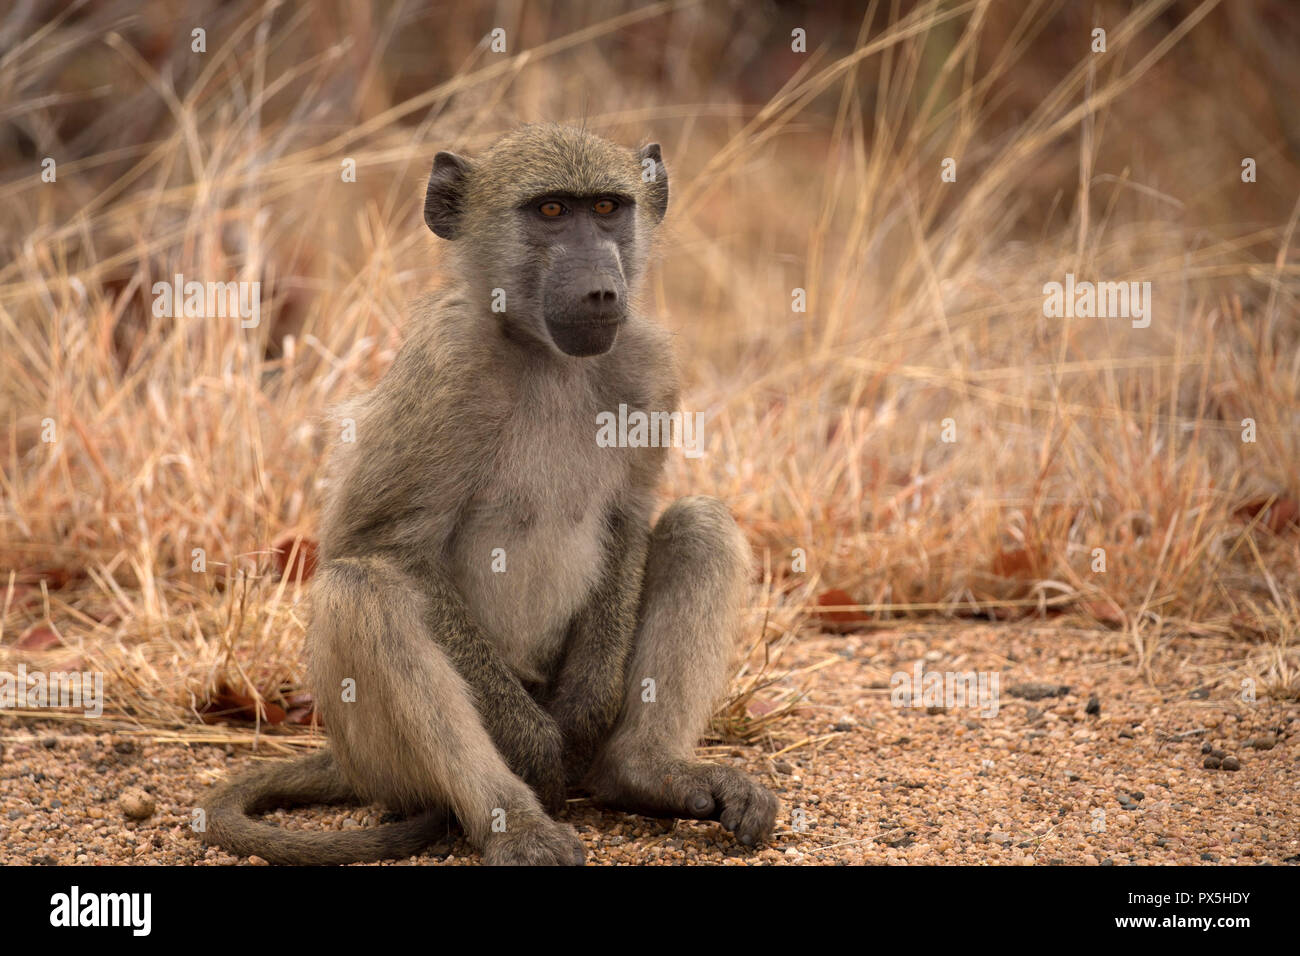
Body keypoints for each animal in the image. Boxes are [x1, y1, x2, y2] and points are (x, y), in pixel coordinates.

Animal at [200, 124, 778, 865]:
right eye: (552, 211)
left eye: (608, 209)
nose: (600, 291)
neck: (546, 356)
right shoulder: (446, 364)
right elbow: (379, 543)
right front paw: (533, 745)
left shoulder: (649, 365)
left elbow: (630, 518)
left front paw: (591, 709)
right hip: (375, 756)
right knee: (364, 590)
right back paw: (519, 825)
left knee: (701, 525)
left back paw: (645, 774)